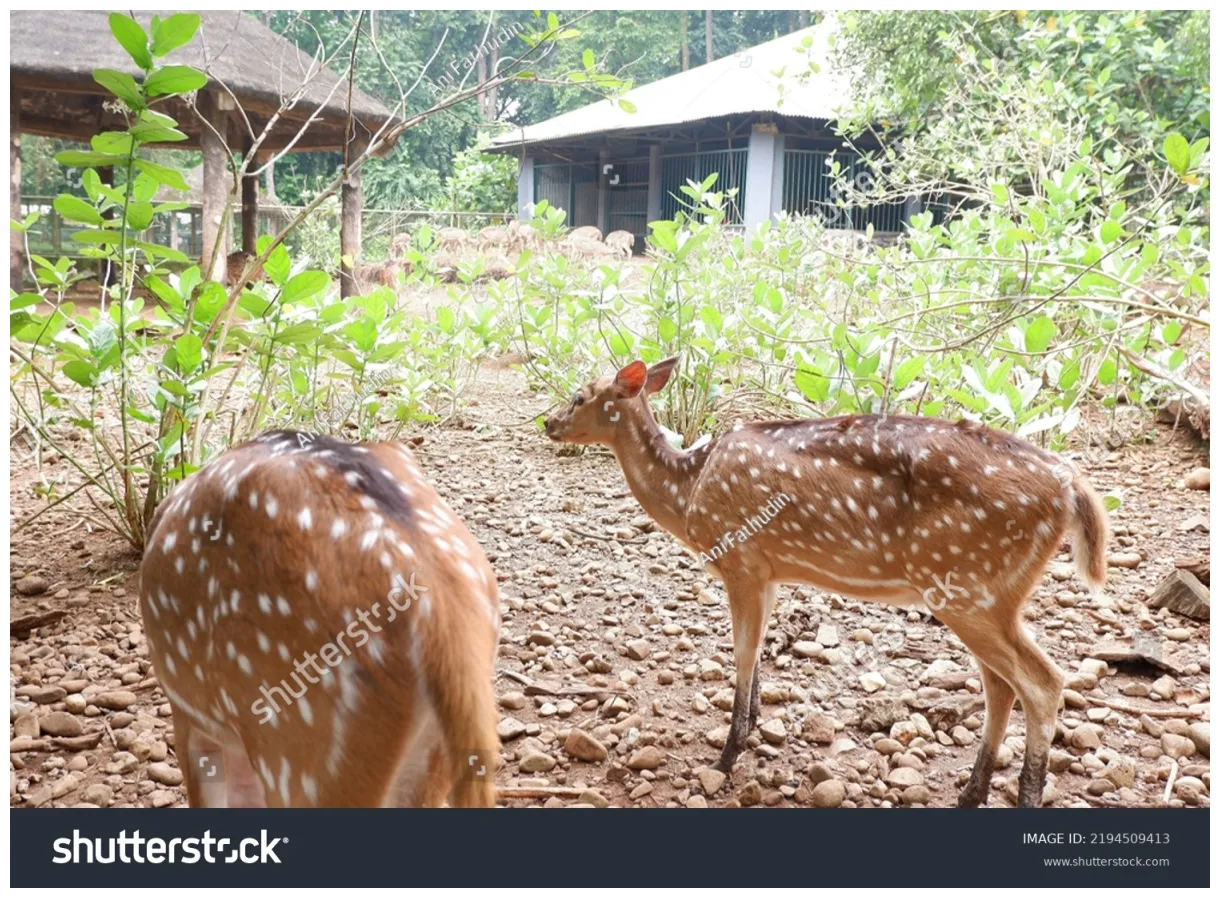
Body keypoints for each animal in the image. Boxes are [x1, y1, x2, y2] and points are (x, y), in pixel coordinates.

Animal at [544, 357, 1109, 808]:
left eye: (580, 396)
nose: (548, 422)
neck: (688, 492)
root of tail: (1073, 488)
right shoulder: (770, 571)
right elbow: (759, 648)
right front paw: (751, 728)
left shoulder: (740, 560)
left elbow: (742, 652)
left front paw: (727, 754)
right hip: (986, 594)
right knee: (1002, 683)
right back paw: (971, 793)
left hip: (966, 585)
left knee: (1042, 682)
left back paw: (1022, 795)